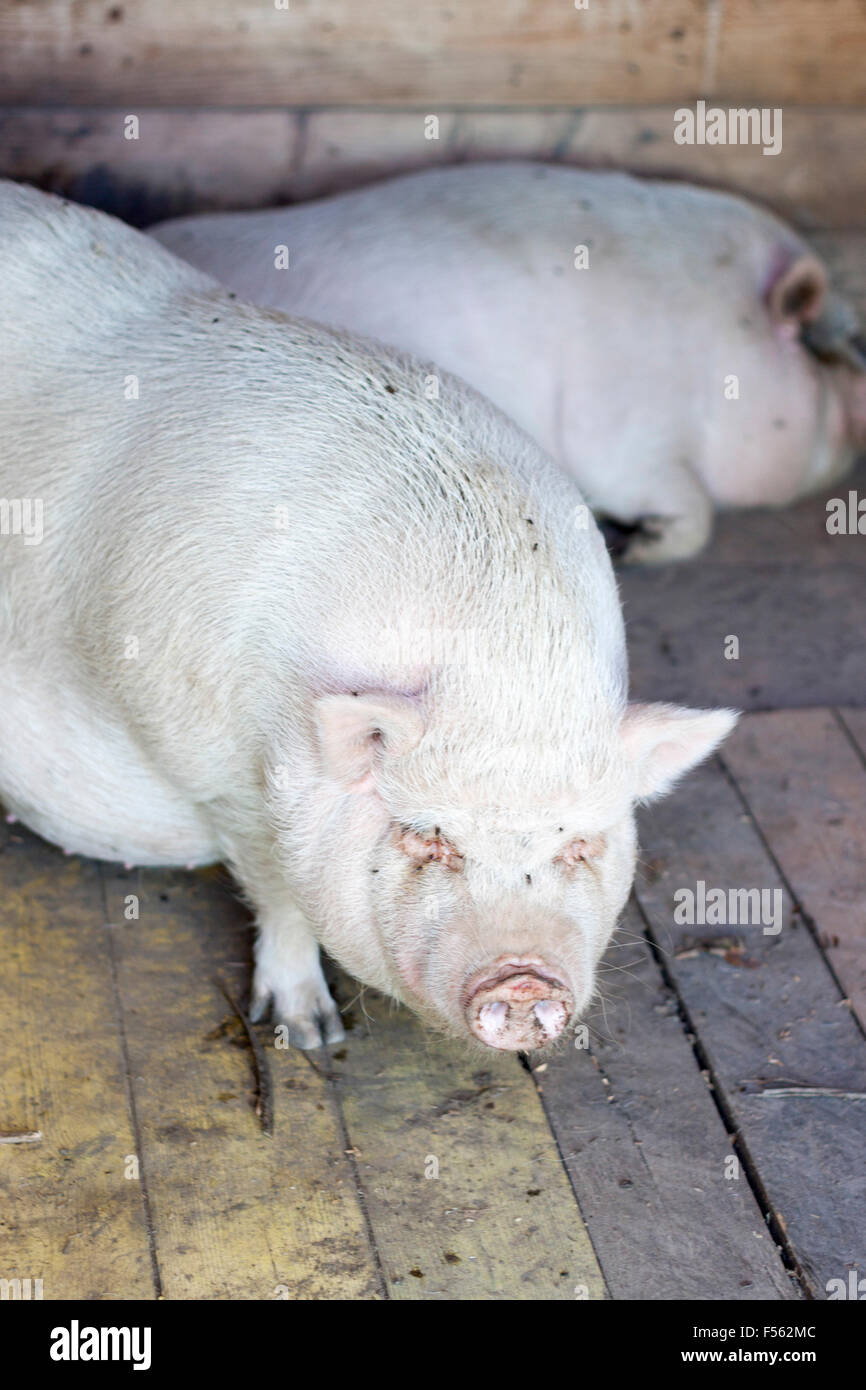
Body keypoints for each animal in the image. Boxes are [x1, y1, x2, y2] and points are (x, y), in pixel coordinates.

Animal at [0, 180, 735, 1052]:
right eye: (429, 836)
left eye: (582, 842)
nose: (523, 981)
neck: (504, 669)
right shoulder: (214, 761)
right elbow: (279, 889)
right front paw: (313, 1037)